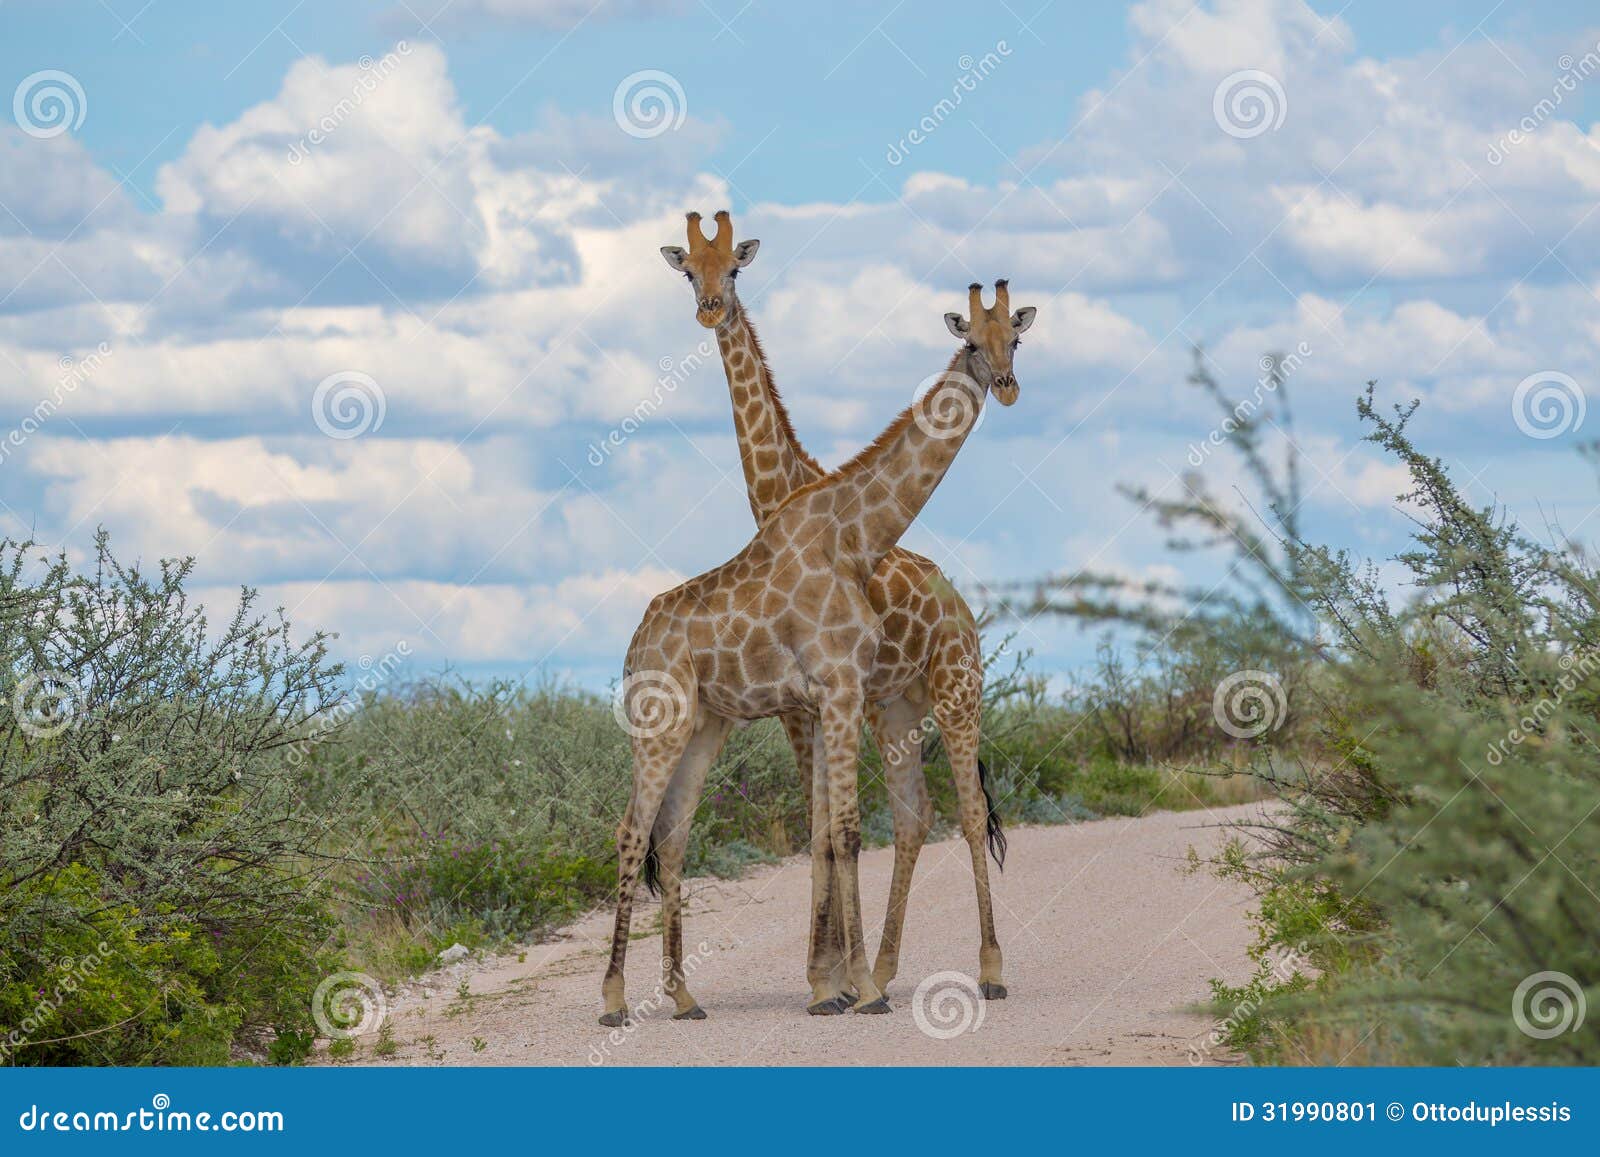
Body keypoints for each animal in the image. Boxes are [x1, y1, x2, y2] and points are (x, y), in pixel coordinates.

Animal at [601, 279, 1036, 1026]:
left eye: (1016, 336)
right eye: (973, 343)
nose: (1006, 387)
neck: (854, 535)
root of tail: (635, 644)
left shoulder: (838, 693)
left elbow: (835, 831)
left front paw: (844, 985)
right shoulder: (835, 690)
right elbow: (849, 831)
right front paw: (857, 988)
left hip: (713, 725)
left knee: (675, 836)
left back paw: (685, 997)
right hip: (664, 723)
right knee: (633, 832)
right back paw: (613, 1000)